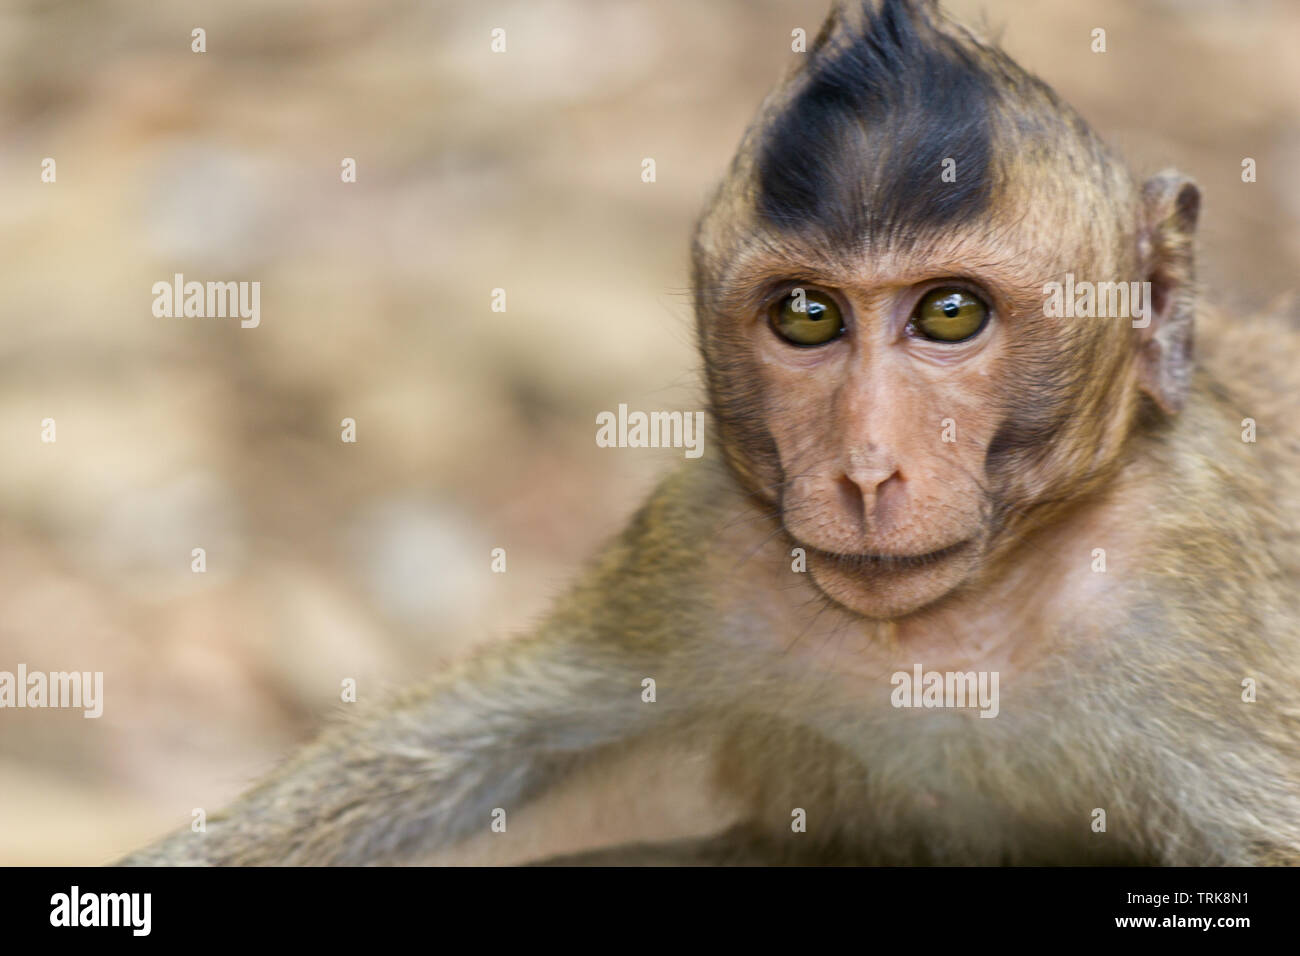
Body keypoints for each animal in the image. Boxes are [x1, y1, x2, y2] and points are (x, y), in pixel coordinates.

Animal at [119, 0, 1300, 866]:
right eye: (807, 316)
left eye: (950, 314)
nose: (866, 470)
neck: (946, 627)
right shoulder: (701, 547)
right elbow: (475, 746)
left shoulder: (1186, 594)